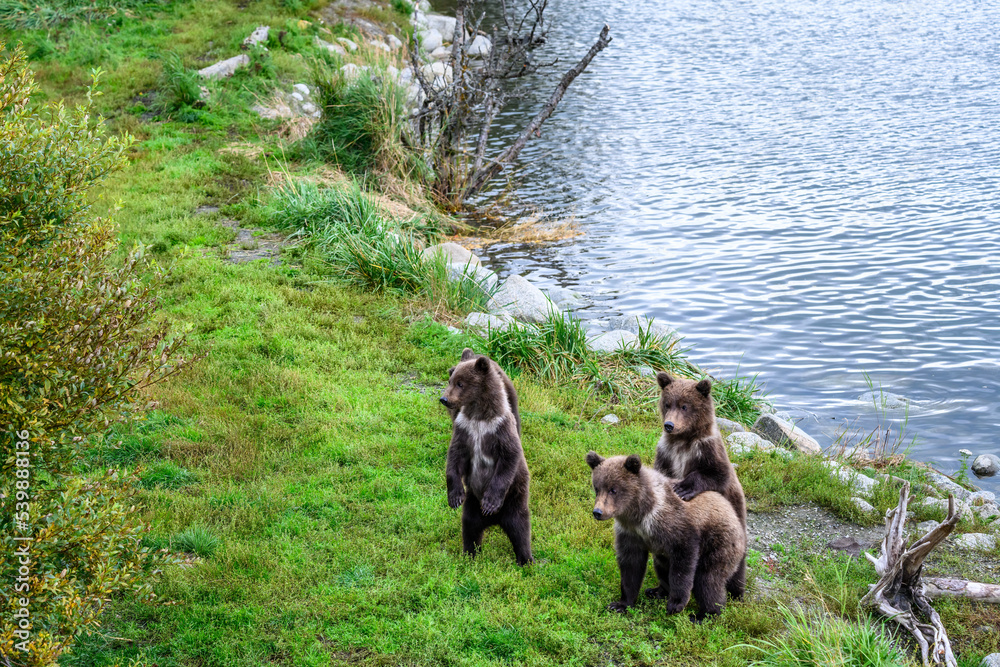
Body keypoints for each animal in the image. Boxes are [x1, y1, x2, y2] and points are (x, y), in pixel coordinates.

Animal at [440, 349, 532, 565]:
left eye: (460, 383)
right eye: (451, 379)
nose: (444, 399)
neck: (479, 417)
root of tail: (495, 521)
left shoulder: (500, 429)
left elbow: (509, 459)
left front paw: (490, 502)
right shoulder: (465, 430)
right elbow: (454, 459)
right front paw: (454, 496)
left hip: (514, 499)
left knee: (520, 529)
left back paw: (526, 559)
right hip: (473, 503)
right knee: (470, 528)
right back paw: (469, 554)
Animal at [586, 452, 746, 620]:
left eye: (613, 489)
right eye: (597, 488)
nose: (598, 512)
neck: (640, 514)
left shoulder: (676, 528)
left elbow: (683, 565)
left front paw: (676, 604)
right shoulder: (630, 534)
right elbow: (631, 567)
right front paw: (620, 604)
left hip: (718, 543)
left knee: (708, 579)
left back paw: (705, 614)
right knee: (662, 566)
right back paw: (657, 591)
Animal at [653, 372, 747, 600]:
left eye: (685, 406)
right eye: (667, 403)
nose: (669, 425)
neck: (683, 441)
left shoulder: (707, 450)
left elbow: (716, 474)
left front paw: (683, 488)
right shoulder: (666, 454)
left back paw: (737, 591)